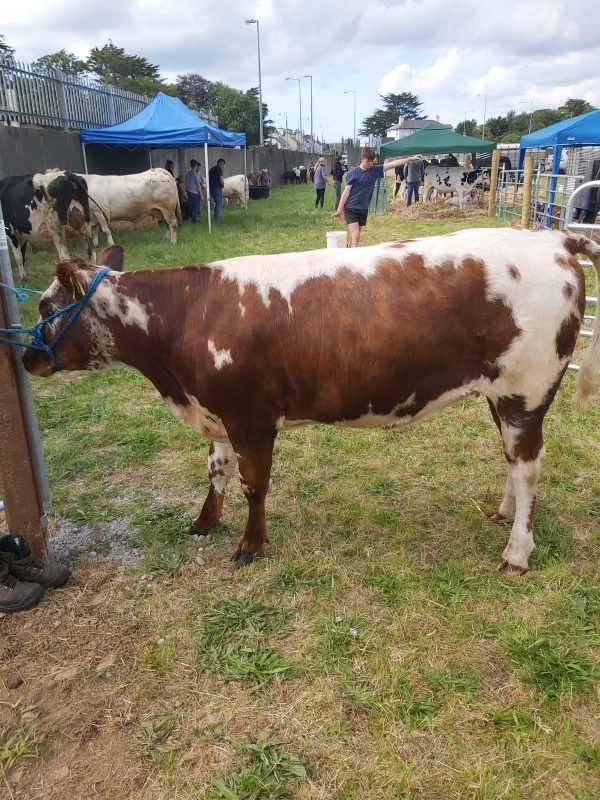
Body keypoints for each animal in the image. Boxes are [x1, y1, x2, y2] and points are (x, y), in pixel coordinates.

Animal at [22, 229, 600, 575]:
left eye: (48, 309)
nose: (26, 358)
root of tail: (552, 237)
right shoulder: (219, 412)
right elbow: (216, 470)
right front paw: (204, 523)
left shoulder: (251, 417)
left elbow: (254, 485)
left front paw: (250, 547)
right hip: (500, 393)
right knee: (514, 462)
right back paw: (504, 513)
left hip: (526, 388)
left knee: (528, 466)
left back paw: (517, 552)